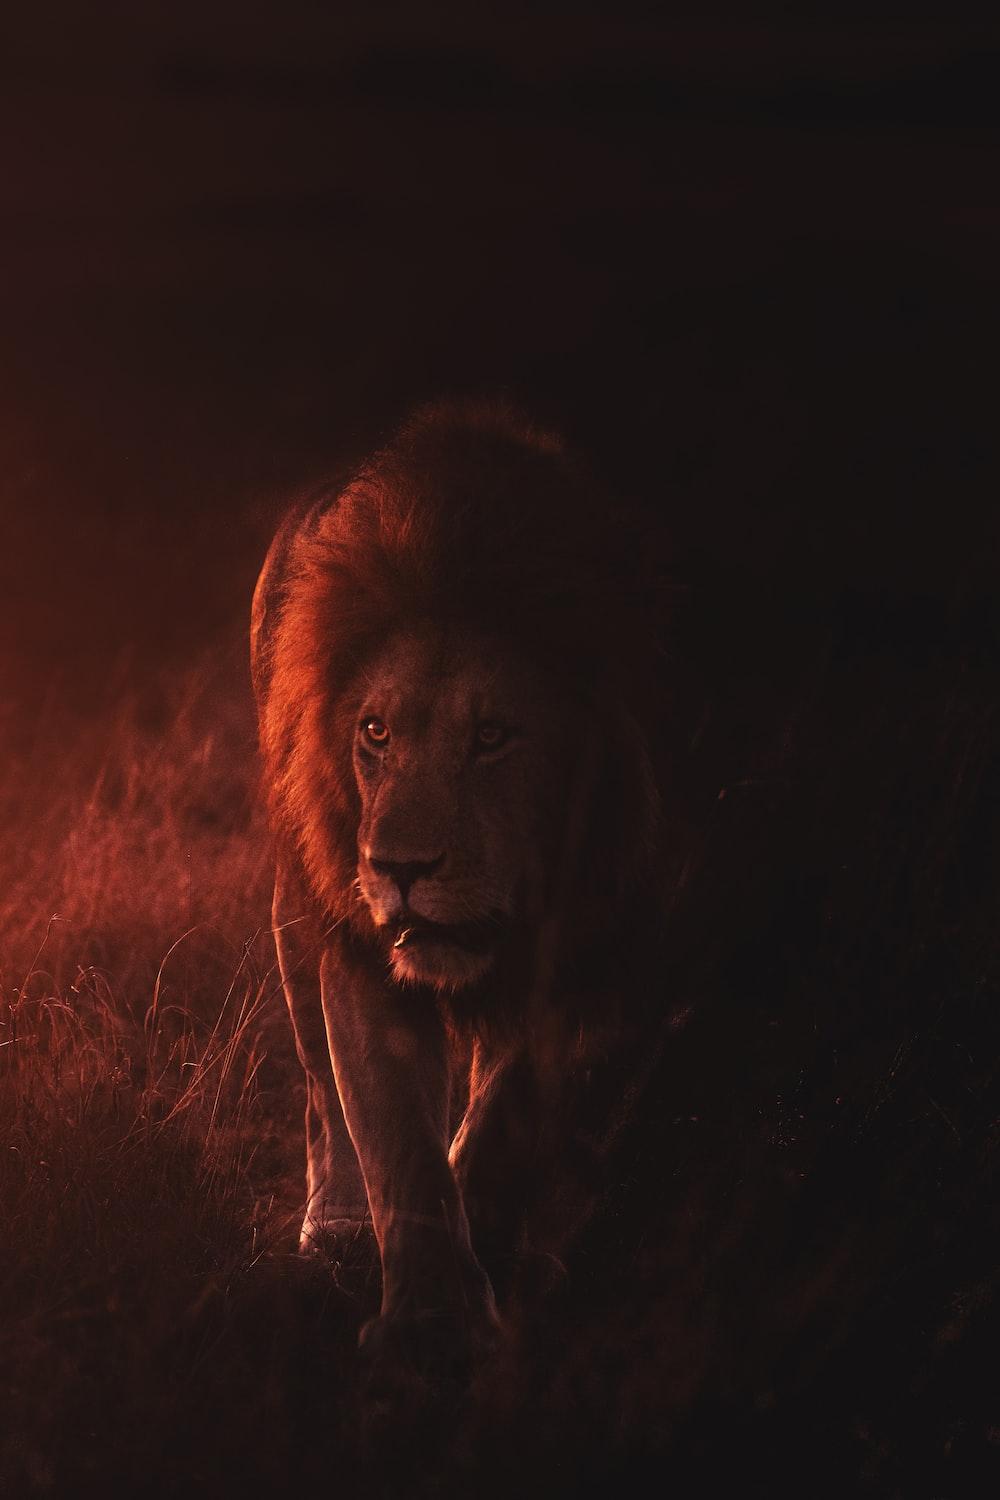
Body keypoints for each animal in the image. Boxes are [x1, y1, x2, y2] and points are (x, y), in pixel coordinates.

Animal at [251, 399, 664, 1376]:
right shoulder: (363, 952)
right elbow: (394, 1131)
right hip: (299, 912)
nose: (399, 869)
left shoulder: (601, 941)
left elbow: (511, 1105)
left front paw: (491, 1231)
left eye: (491, 737)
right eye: (375, 732)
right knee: (322, 1095)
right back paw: (337, 1227)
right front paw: (431, 1320)